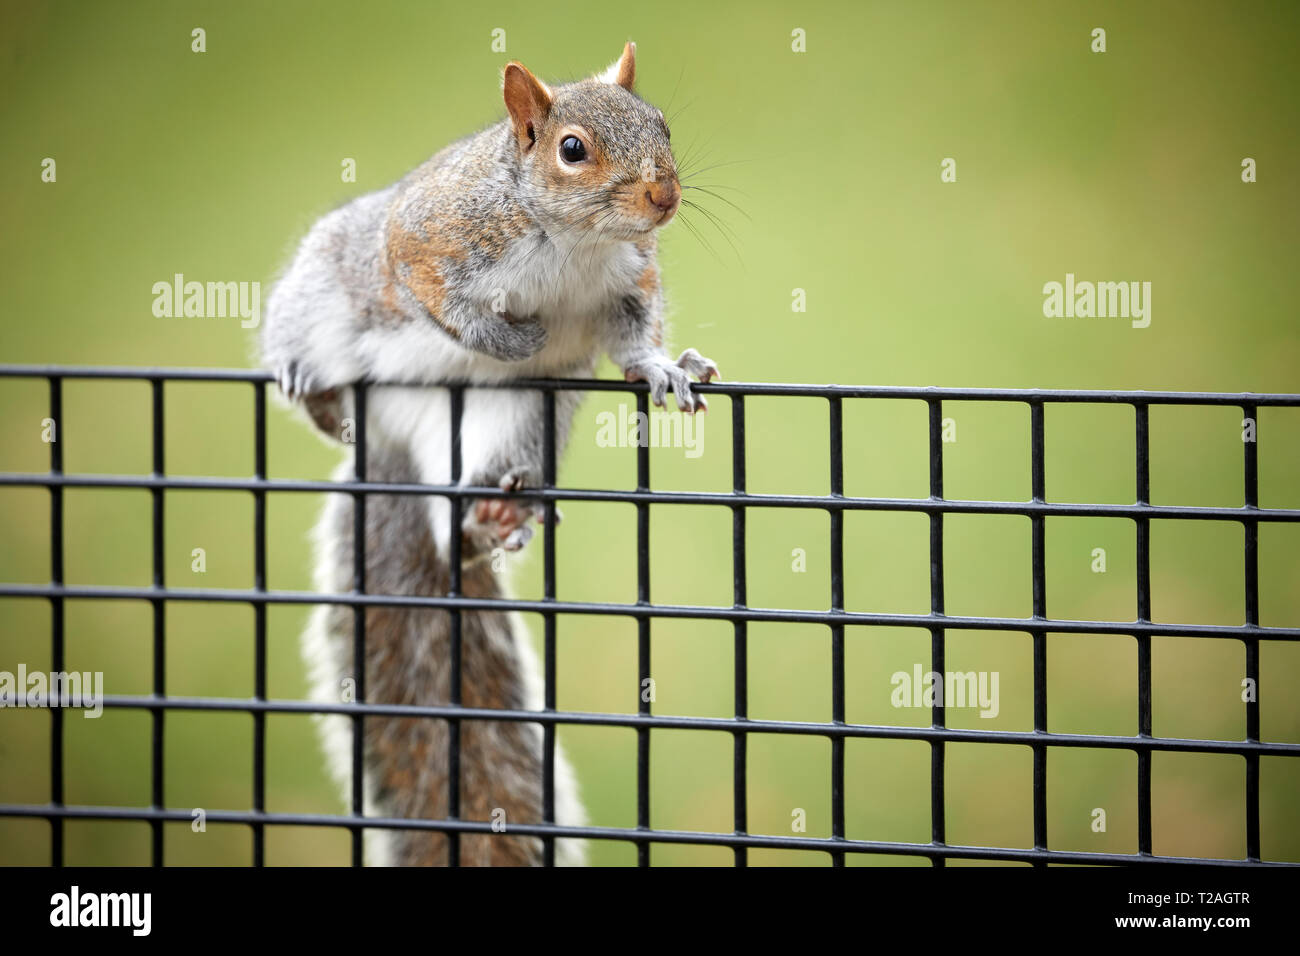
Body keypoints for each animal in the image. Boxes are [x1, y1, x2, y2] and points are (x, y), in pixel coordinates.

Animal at [259, 42, 718, 866]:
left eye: (662, 124)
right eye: (572, 150)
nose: (665, 196)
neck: (575, 238)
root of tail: (398, 441)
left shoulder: (631, 278)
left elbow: (636, 336)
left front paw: (664, 368)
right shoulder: (431, 236)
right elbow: (437, 295)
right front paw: (510, 336)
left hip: (515, 421)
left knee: (470, 508)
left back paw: (492, 513)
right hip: (322, 294)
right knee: (316, 364)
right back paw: (314, 390)